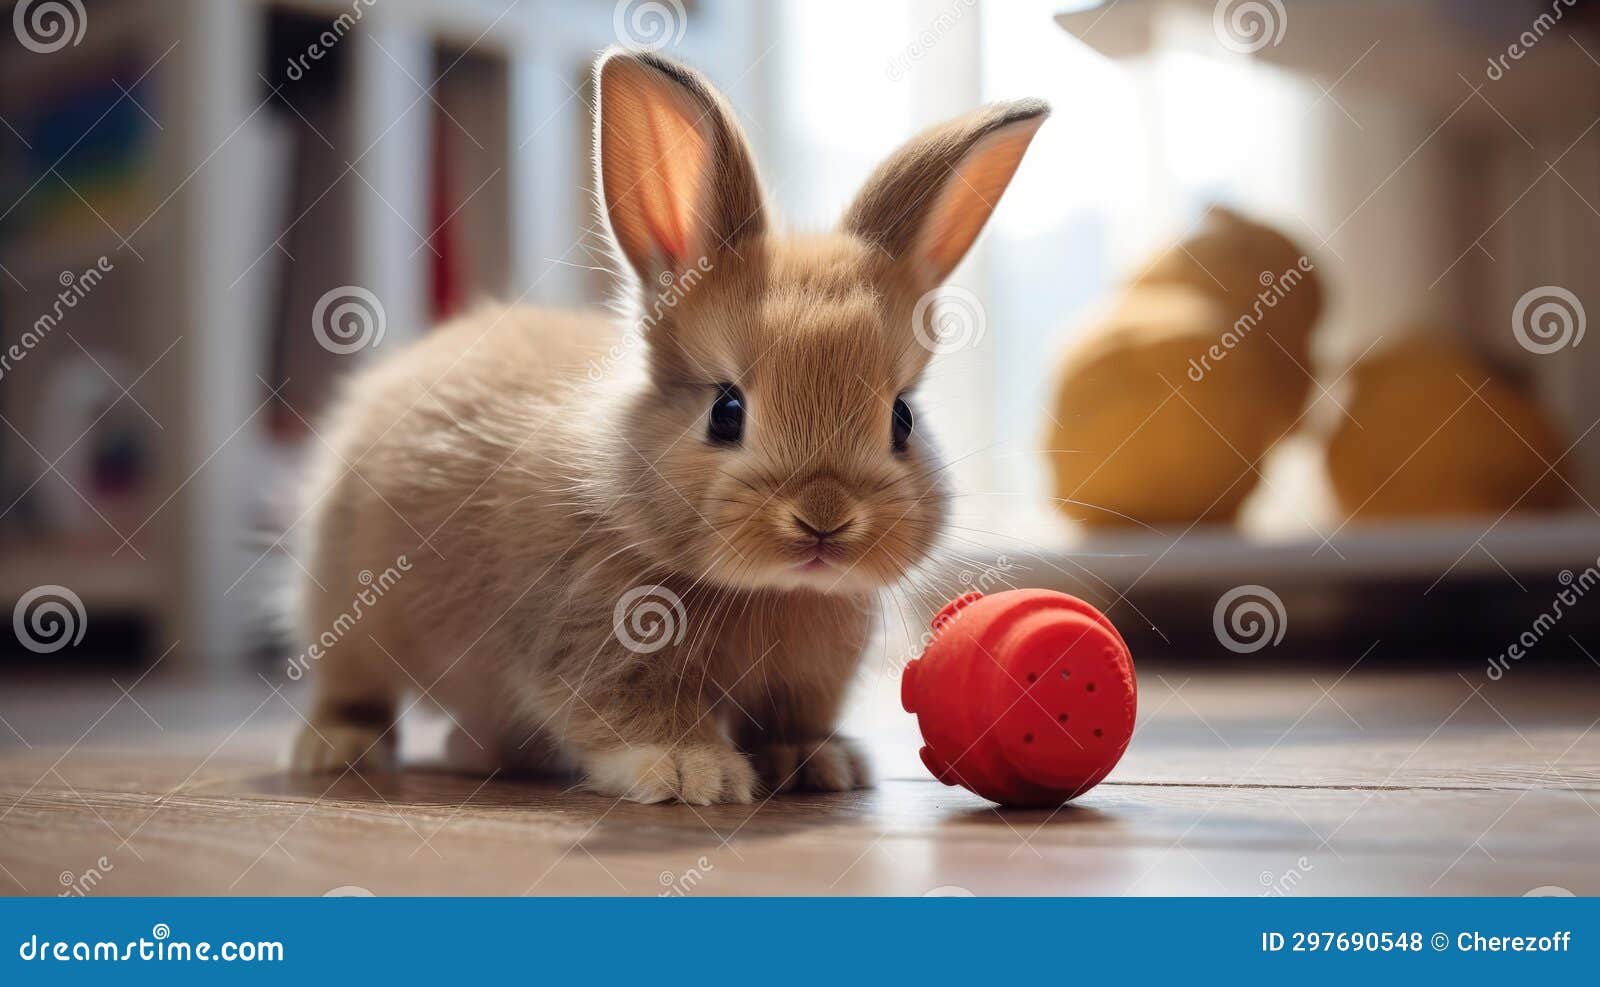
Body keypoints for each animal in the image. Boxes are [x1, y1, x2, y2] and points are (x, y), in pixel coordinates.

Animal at [287, 48, 1048, 804]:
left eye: (902, 418)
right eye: (726, 411)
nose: (825, 518)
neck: (768, 588)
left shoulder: (804, 681)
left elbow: (792, 717)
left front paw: (817, 762)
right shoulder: (598, 636)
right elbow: (635, 708)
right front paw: (694, 771)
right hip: (346, 605)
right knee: (351, 685)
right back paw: (335, 749)